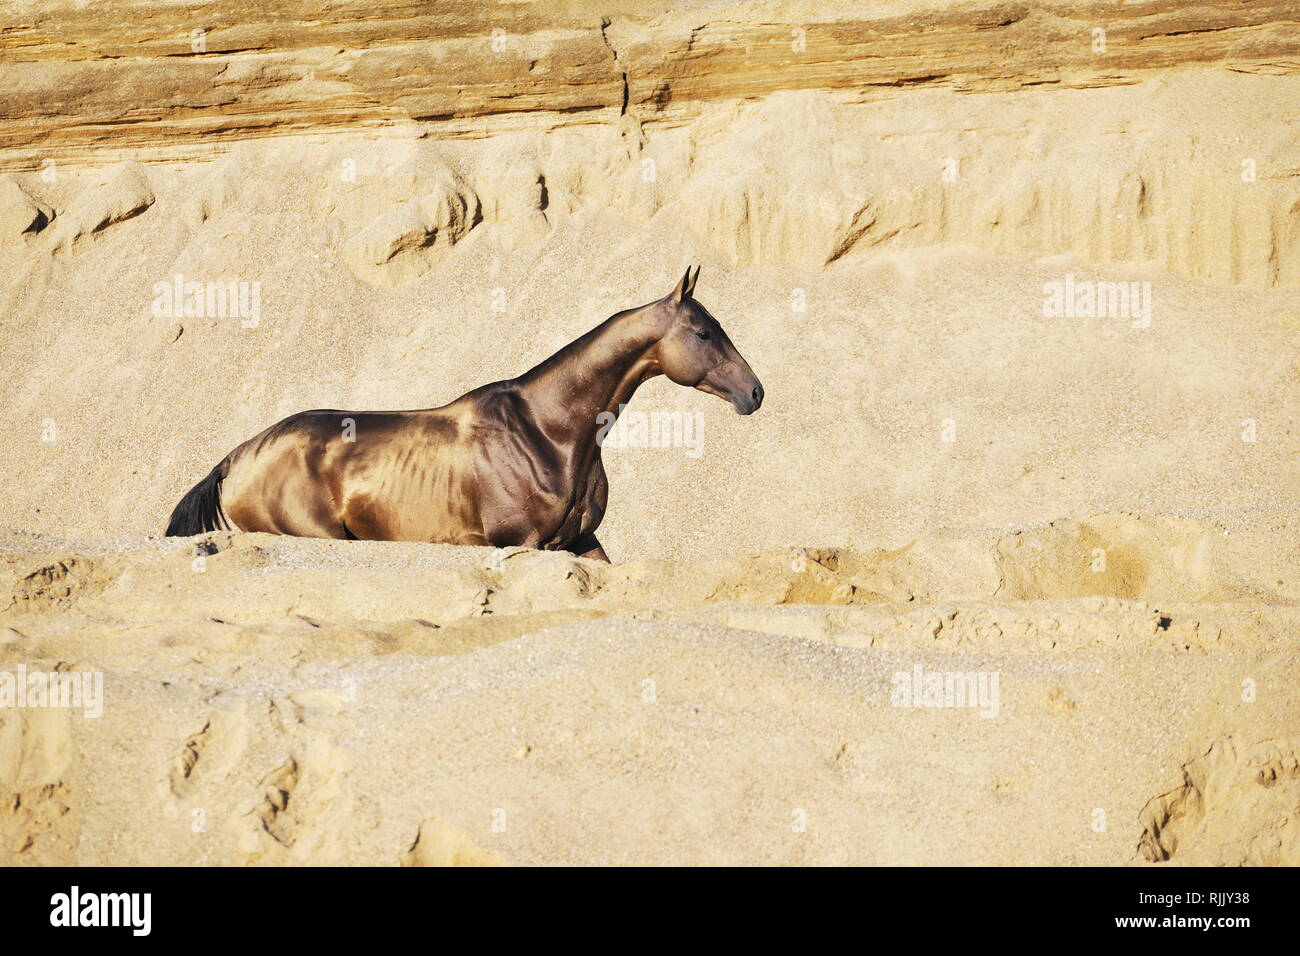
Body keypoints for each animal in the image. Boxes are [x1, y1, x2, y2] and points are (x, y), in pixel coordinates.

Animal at [164, 267, 764, 561]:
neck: (548, 432)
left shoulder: (578, 543)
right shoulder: (520, 544)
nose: (754, 392)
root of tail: (235, 460)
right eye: (703, 332)